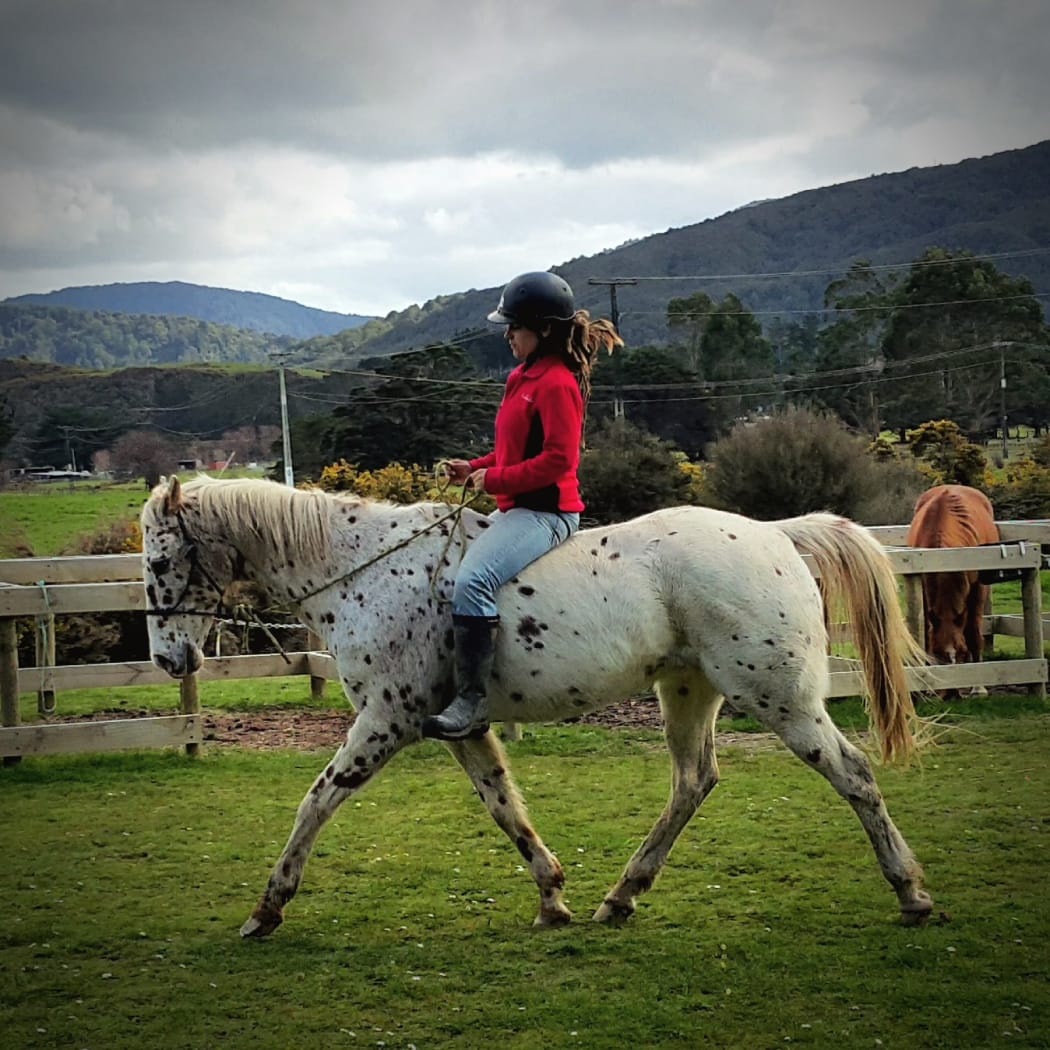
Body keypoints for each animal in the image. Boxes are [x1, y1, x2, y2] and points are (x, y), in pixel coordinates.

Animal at [140, 475, 934, 938]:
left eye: (158, 560)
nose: (169, 659)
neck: (362, 571)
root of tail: (774, 534)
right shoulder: (455, 727)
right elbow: (503, 806)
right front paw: (552, 897)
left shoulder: (386, 721)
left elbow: (316, 800)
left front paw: (267, 906)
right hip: (688, 690)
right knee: (693, 782)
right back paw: (621, 896)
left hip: (778, 698)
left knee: (854, 775)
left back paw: (911, 893)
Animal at [906, 484, 1000, 676]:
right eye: (936, 654)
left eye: (961, 652)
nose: (952, 692)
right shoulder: (924, 592)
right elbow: (926, 631)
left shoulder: (977, 588)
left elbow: (972, 631)